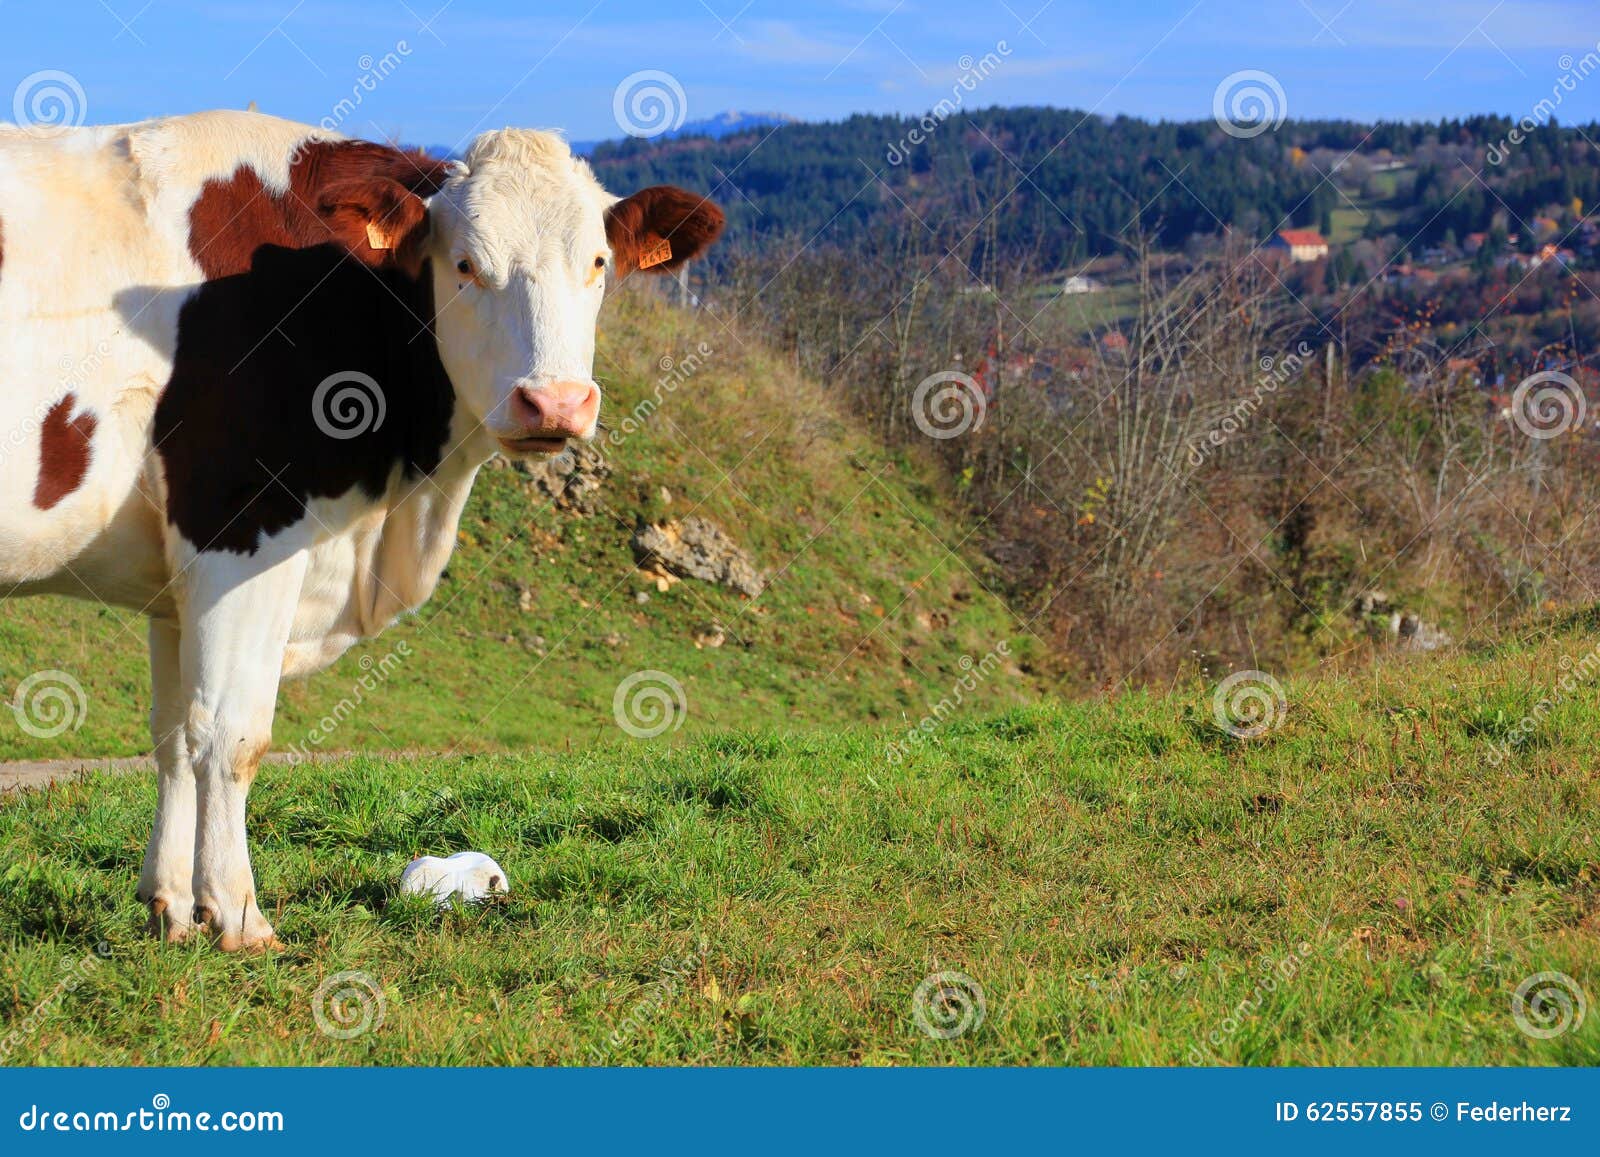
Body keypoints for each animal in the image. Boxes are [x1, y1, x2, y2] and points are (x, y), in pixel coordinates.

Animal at [0, 110, 723, 950]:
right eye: (466, 265)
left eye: (598, 262)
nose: (555, 403)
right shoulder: (242, 528)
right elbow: (231, 734)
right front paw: (237, 914)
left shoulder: (177, 567)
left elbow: (174, 733)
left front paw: (173, 907)